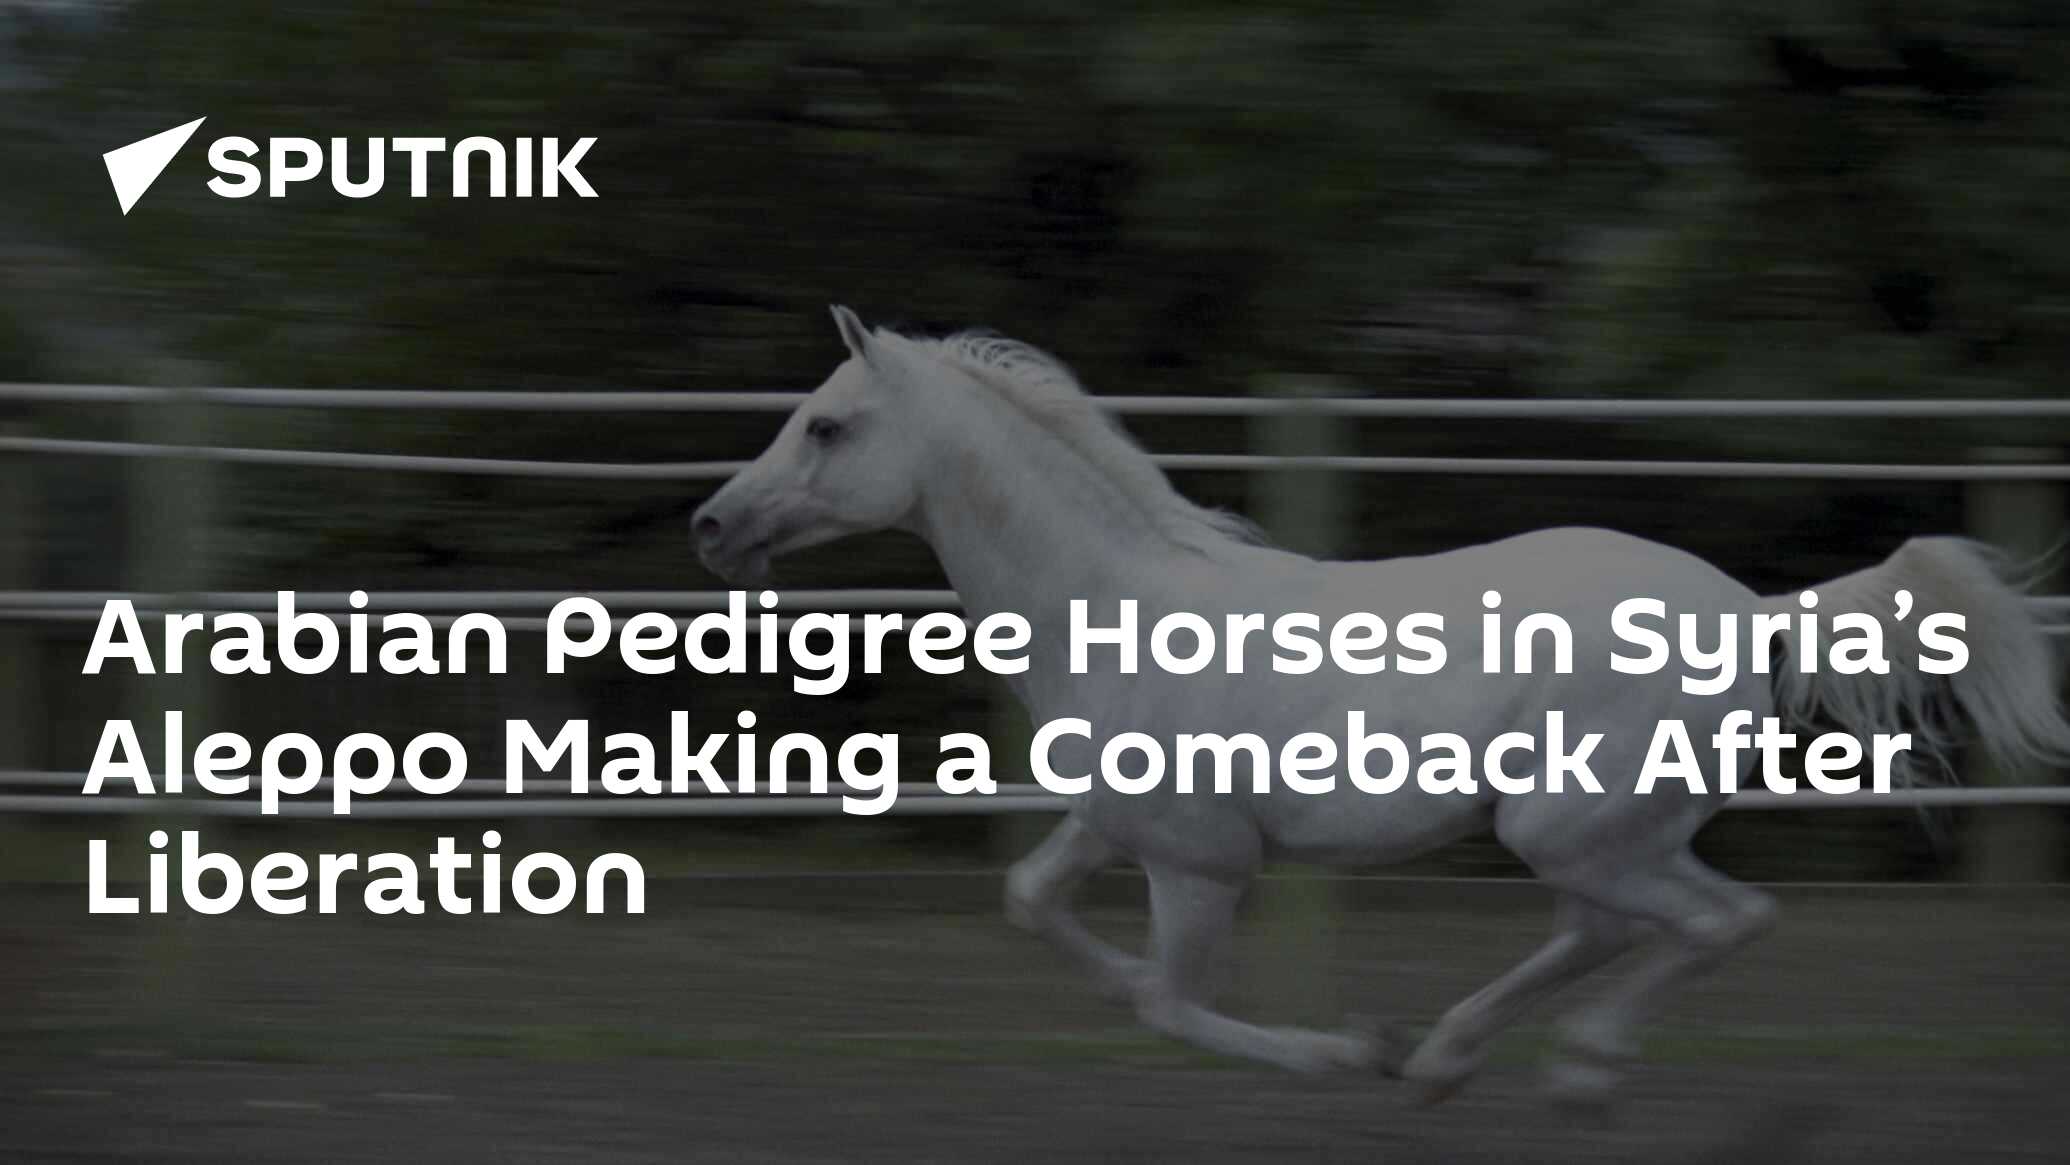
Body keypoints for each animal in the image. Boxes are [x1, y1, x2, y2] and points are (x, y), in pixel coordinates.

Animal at [691, 306, 2070, 1104]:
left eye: (827, 425)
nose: (712, 525)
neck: (1120, 600)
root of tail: (1752, 609)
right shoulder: (1115, 827)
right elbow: (1032, 902)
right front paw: (1361, 1044)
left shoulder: (1198, 863)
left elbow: (1171, 1001)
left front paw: (1340, 1050)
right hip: (1604, 833)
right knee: (1619, 929)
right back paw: (1452, 1058)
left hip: (1570, 828)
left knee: (1723, 921)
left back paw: (1573, 1068)